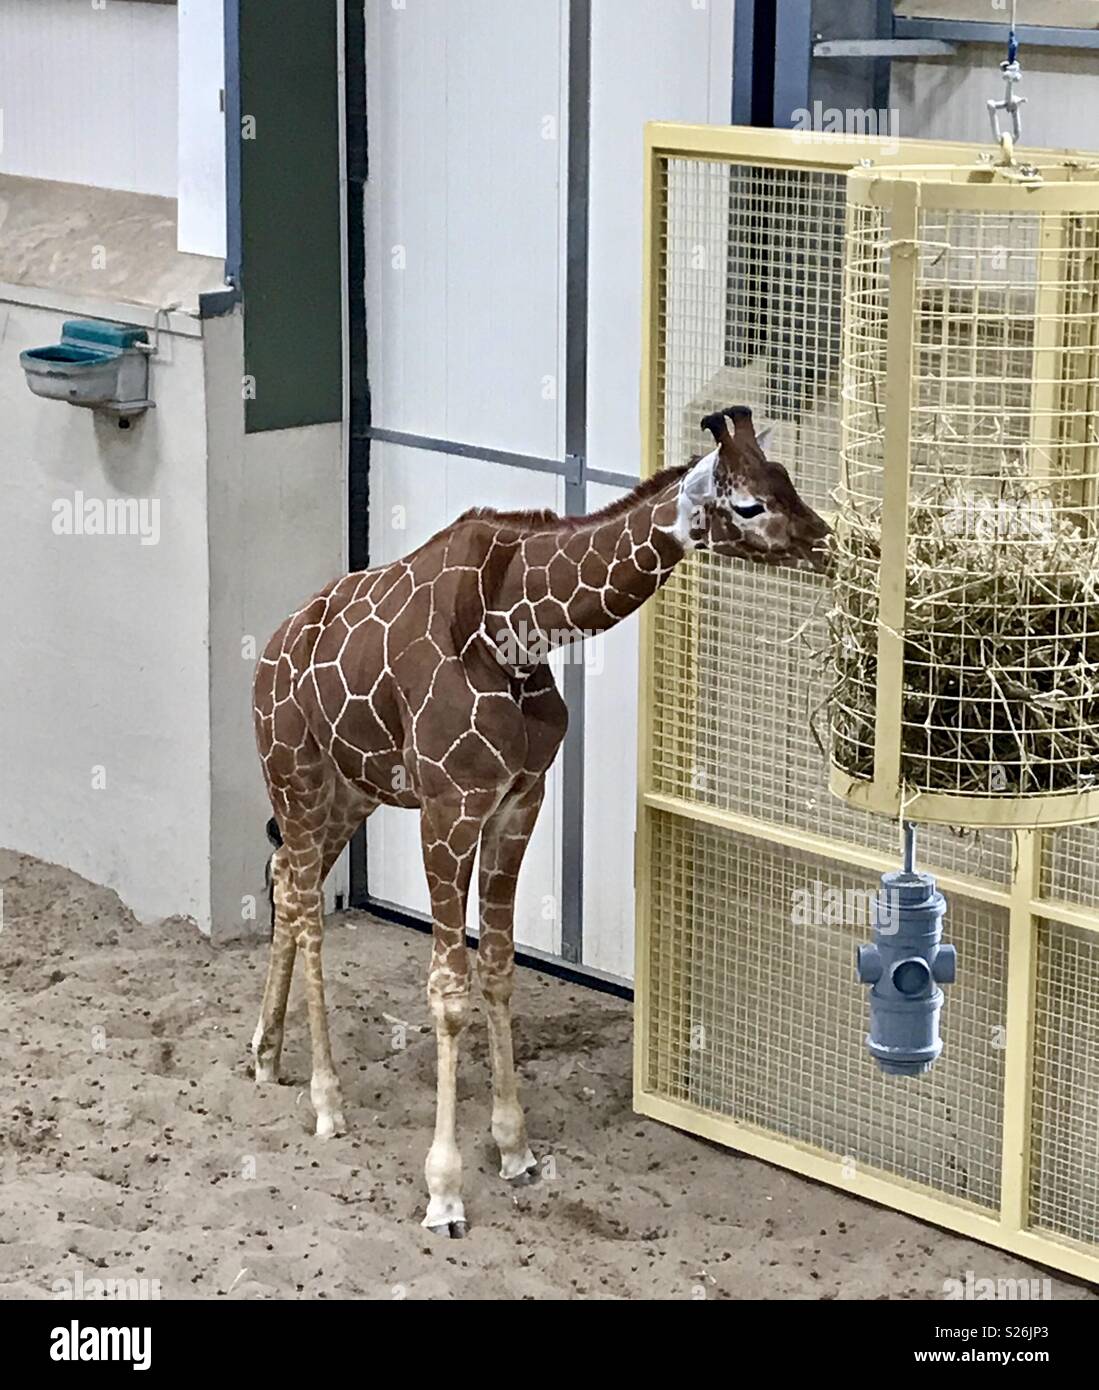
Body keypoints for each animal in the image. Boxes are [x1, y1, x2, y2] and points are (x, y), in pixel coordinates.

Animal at [251, 405, 828, 1236]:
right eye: (748, 503)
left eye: (786, 478)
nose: (825, 541)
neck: (517, 628)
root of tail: (269, 652)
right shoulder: (449, 803)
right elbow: (448, 990)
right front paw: (444, 1191)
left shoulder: (520, 798)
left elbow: (497, 968)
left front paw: (515, 1150)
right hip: (293, 771)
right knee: (304, 904)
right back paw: (326, 1100)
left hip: (349, 790)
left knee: (286, 883)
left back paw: (266, 1053)